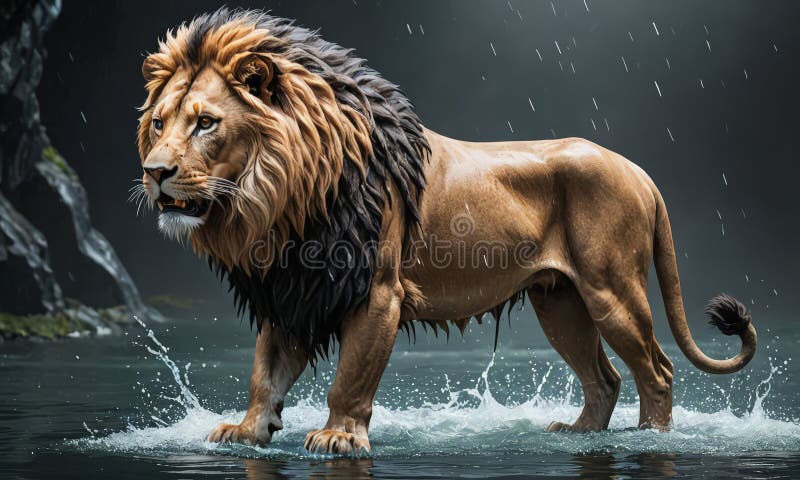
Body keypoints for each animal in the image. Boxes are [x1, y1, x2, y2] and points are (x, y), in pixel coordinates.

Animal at [134, 9, 756, 454]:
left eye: (206, 122)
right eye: (159, 123)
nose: (154, 172)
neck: (284, 201)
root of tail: (636, 169)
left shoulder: (377, 293)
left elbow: (350, 377)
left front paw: (338, 437)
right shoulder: (294, 290)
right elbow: (264, 373)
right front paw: (246, 431)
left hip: (612, 291)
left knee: (657, 370)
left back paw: (650, 442)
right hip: (560, 301)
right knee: (604, 377)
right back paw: (579, 435)